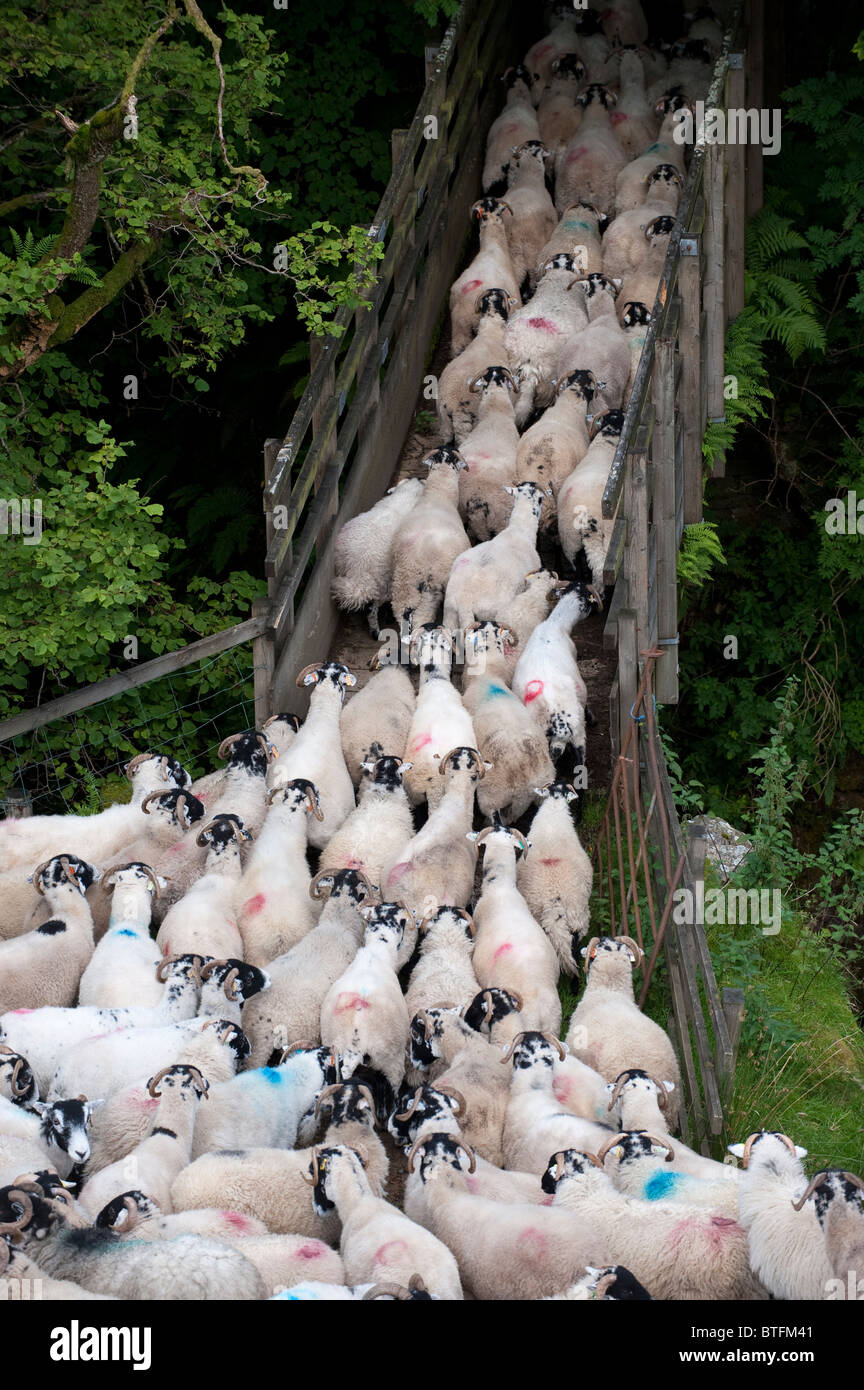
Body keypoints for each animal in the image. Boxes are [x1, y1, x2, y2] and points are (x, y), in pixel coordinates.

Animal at [331, 478, 423, 637]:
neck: (406, 494)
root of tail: (358, 568)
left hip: (342, 566)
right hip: (383, 583)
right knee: (373, 608)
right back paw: (376, 631)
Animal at [557, 408, 625, 590]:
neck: (606, 443)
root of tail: (588, 519)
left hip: (570, 540)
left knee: (579, 567)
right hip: (606, 536)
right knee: (604, 570)